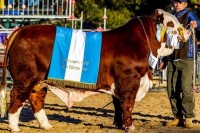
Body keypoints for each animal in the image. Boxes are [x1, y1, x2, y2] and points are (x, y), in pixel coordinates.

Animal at [0, 8, 191, 132]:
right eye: (171, 22)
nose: (189, 31)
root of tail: (22, 29)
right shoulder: (130, 80)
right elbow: (128, 104)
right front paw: (130, 126)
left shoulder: (119, 83)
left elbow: (118, 104)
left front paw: (119, 124)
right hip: (25, 78)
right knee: (16, 98)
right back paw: (14, 127)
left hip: (39, 81)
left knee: (36, 99)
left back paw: (46, 125)